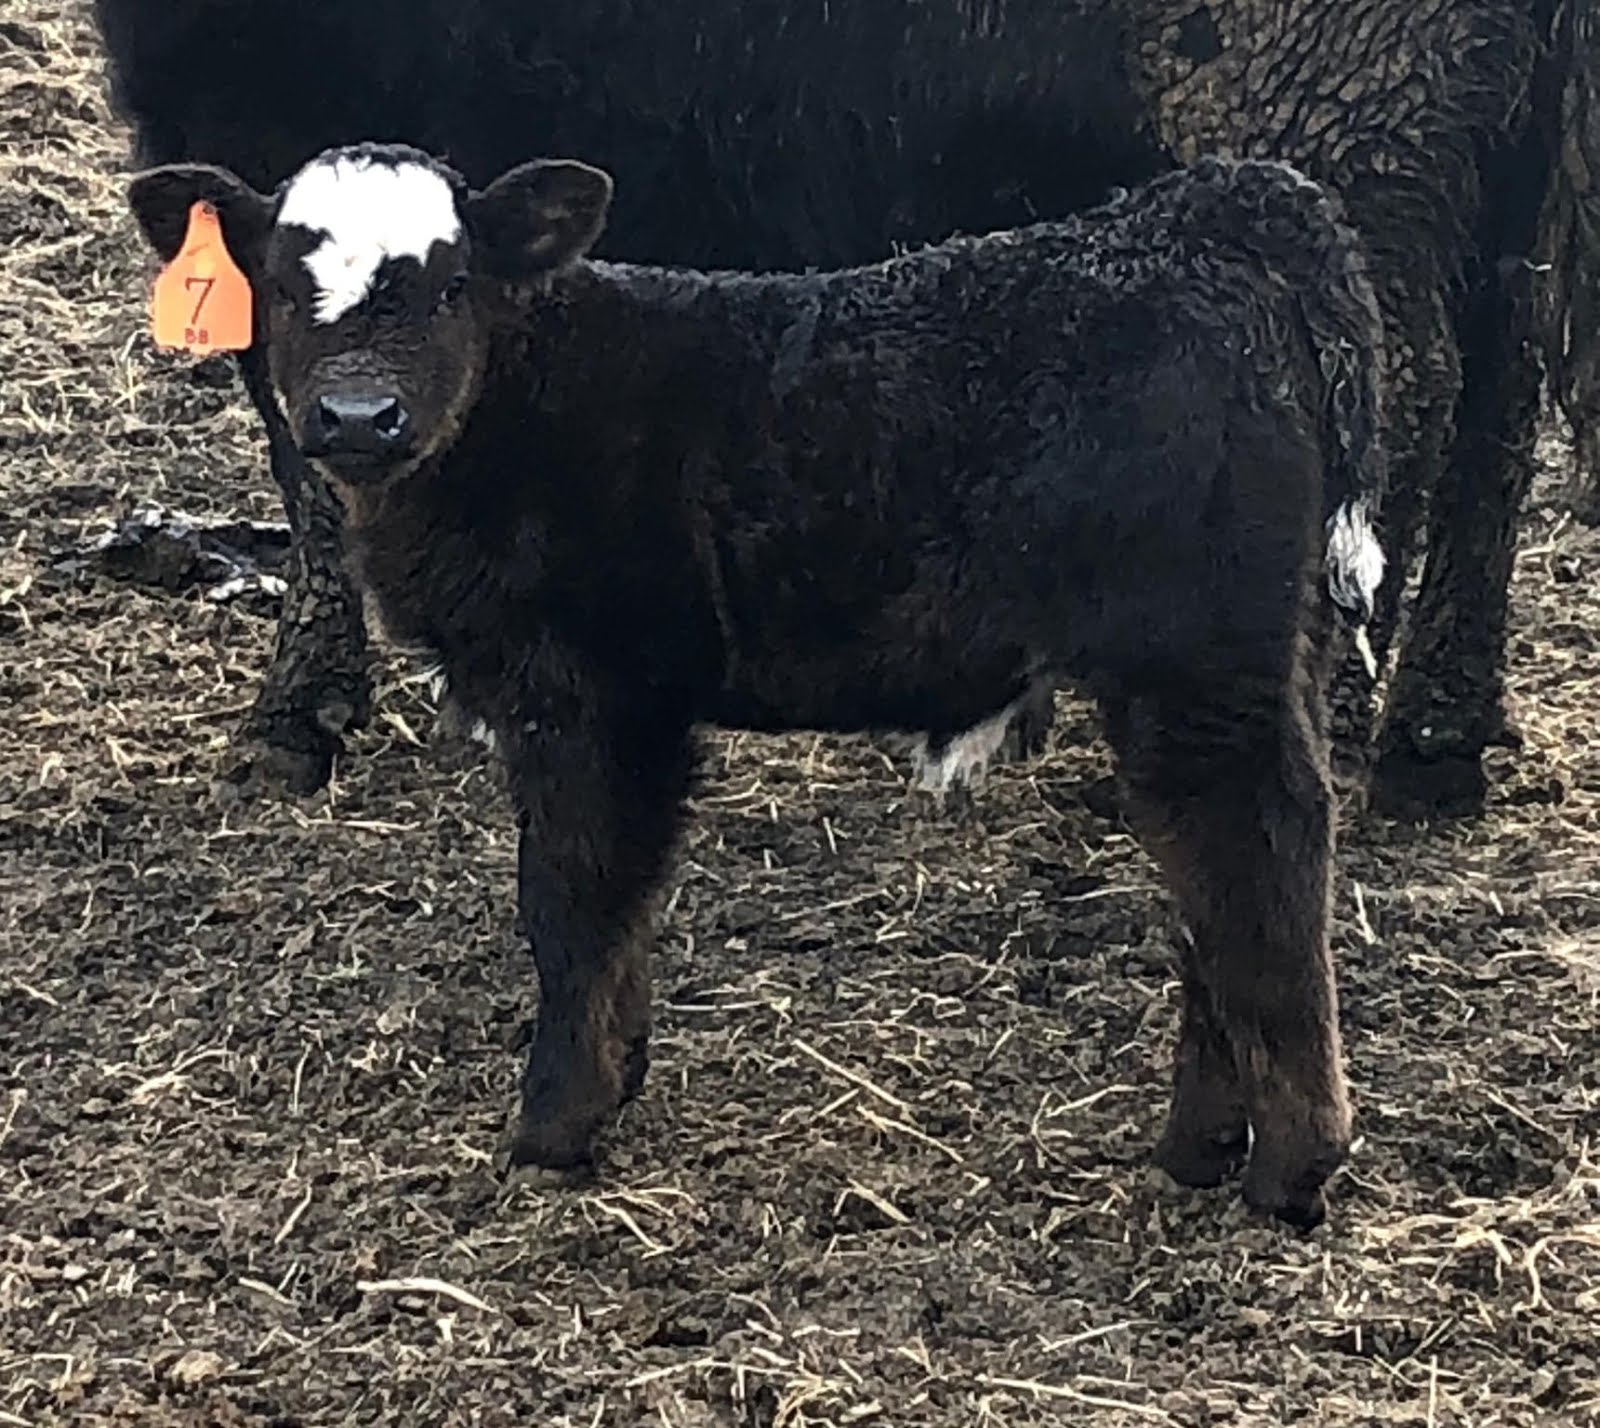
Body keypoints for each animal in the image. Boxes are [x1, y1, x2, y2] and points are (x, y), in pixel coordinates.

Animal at [91, 0, 1595, 819]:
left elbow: (311, 453)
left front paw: (301, 712)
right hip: (1486, 175)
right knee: (1494, 417)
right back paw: (1438, 739)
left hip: (1346, 124)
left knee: (1404, 402)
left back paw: (1316, 719)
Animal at [127, 141, 1389, 1228]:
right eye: (280, 284)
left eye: (449, 287)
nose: (355, 416)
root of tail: (1204, 219)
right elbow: (620, 903)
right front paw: (618, 1074)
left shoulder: (594, 701)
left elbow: (575, 900)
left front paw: (556, 1126)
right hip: (1256, 657)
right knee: (1211, 877)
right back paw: (1198, 1145)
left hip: (1194, 657)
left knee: (1260, 853)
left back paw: (1291, 1166)